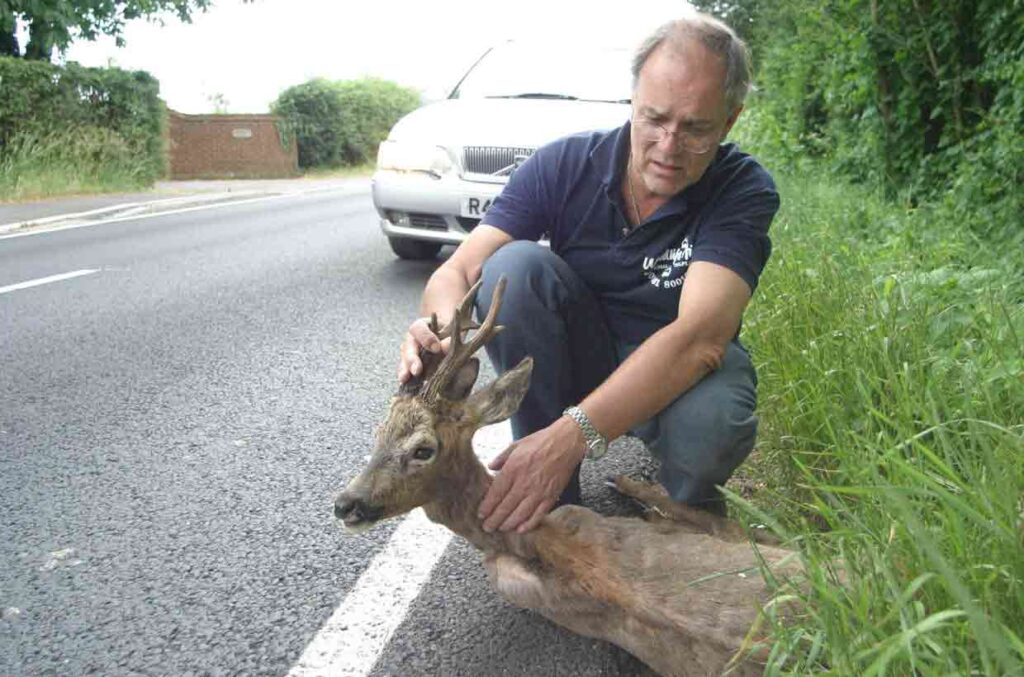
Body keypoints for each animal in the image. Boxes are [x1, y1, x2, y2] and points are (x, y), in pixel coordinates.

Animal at [334, 277, 802, 677]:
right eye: (378, 433)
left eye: (422, 449)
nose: (345, 504)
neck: (523, 539)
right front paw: (632, 491)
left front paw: (628, 489)